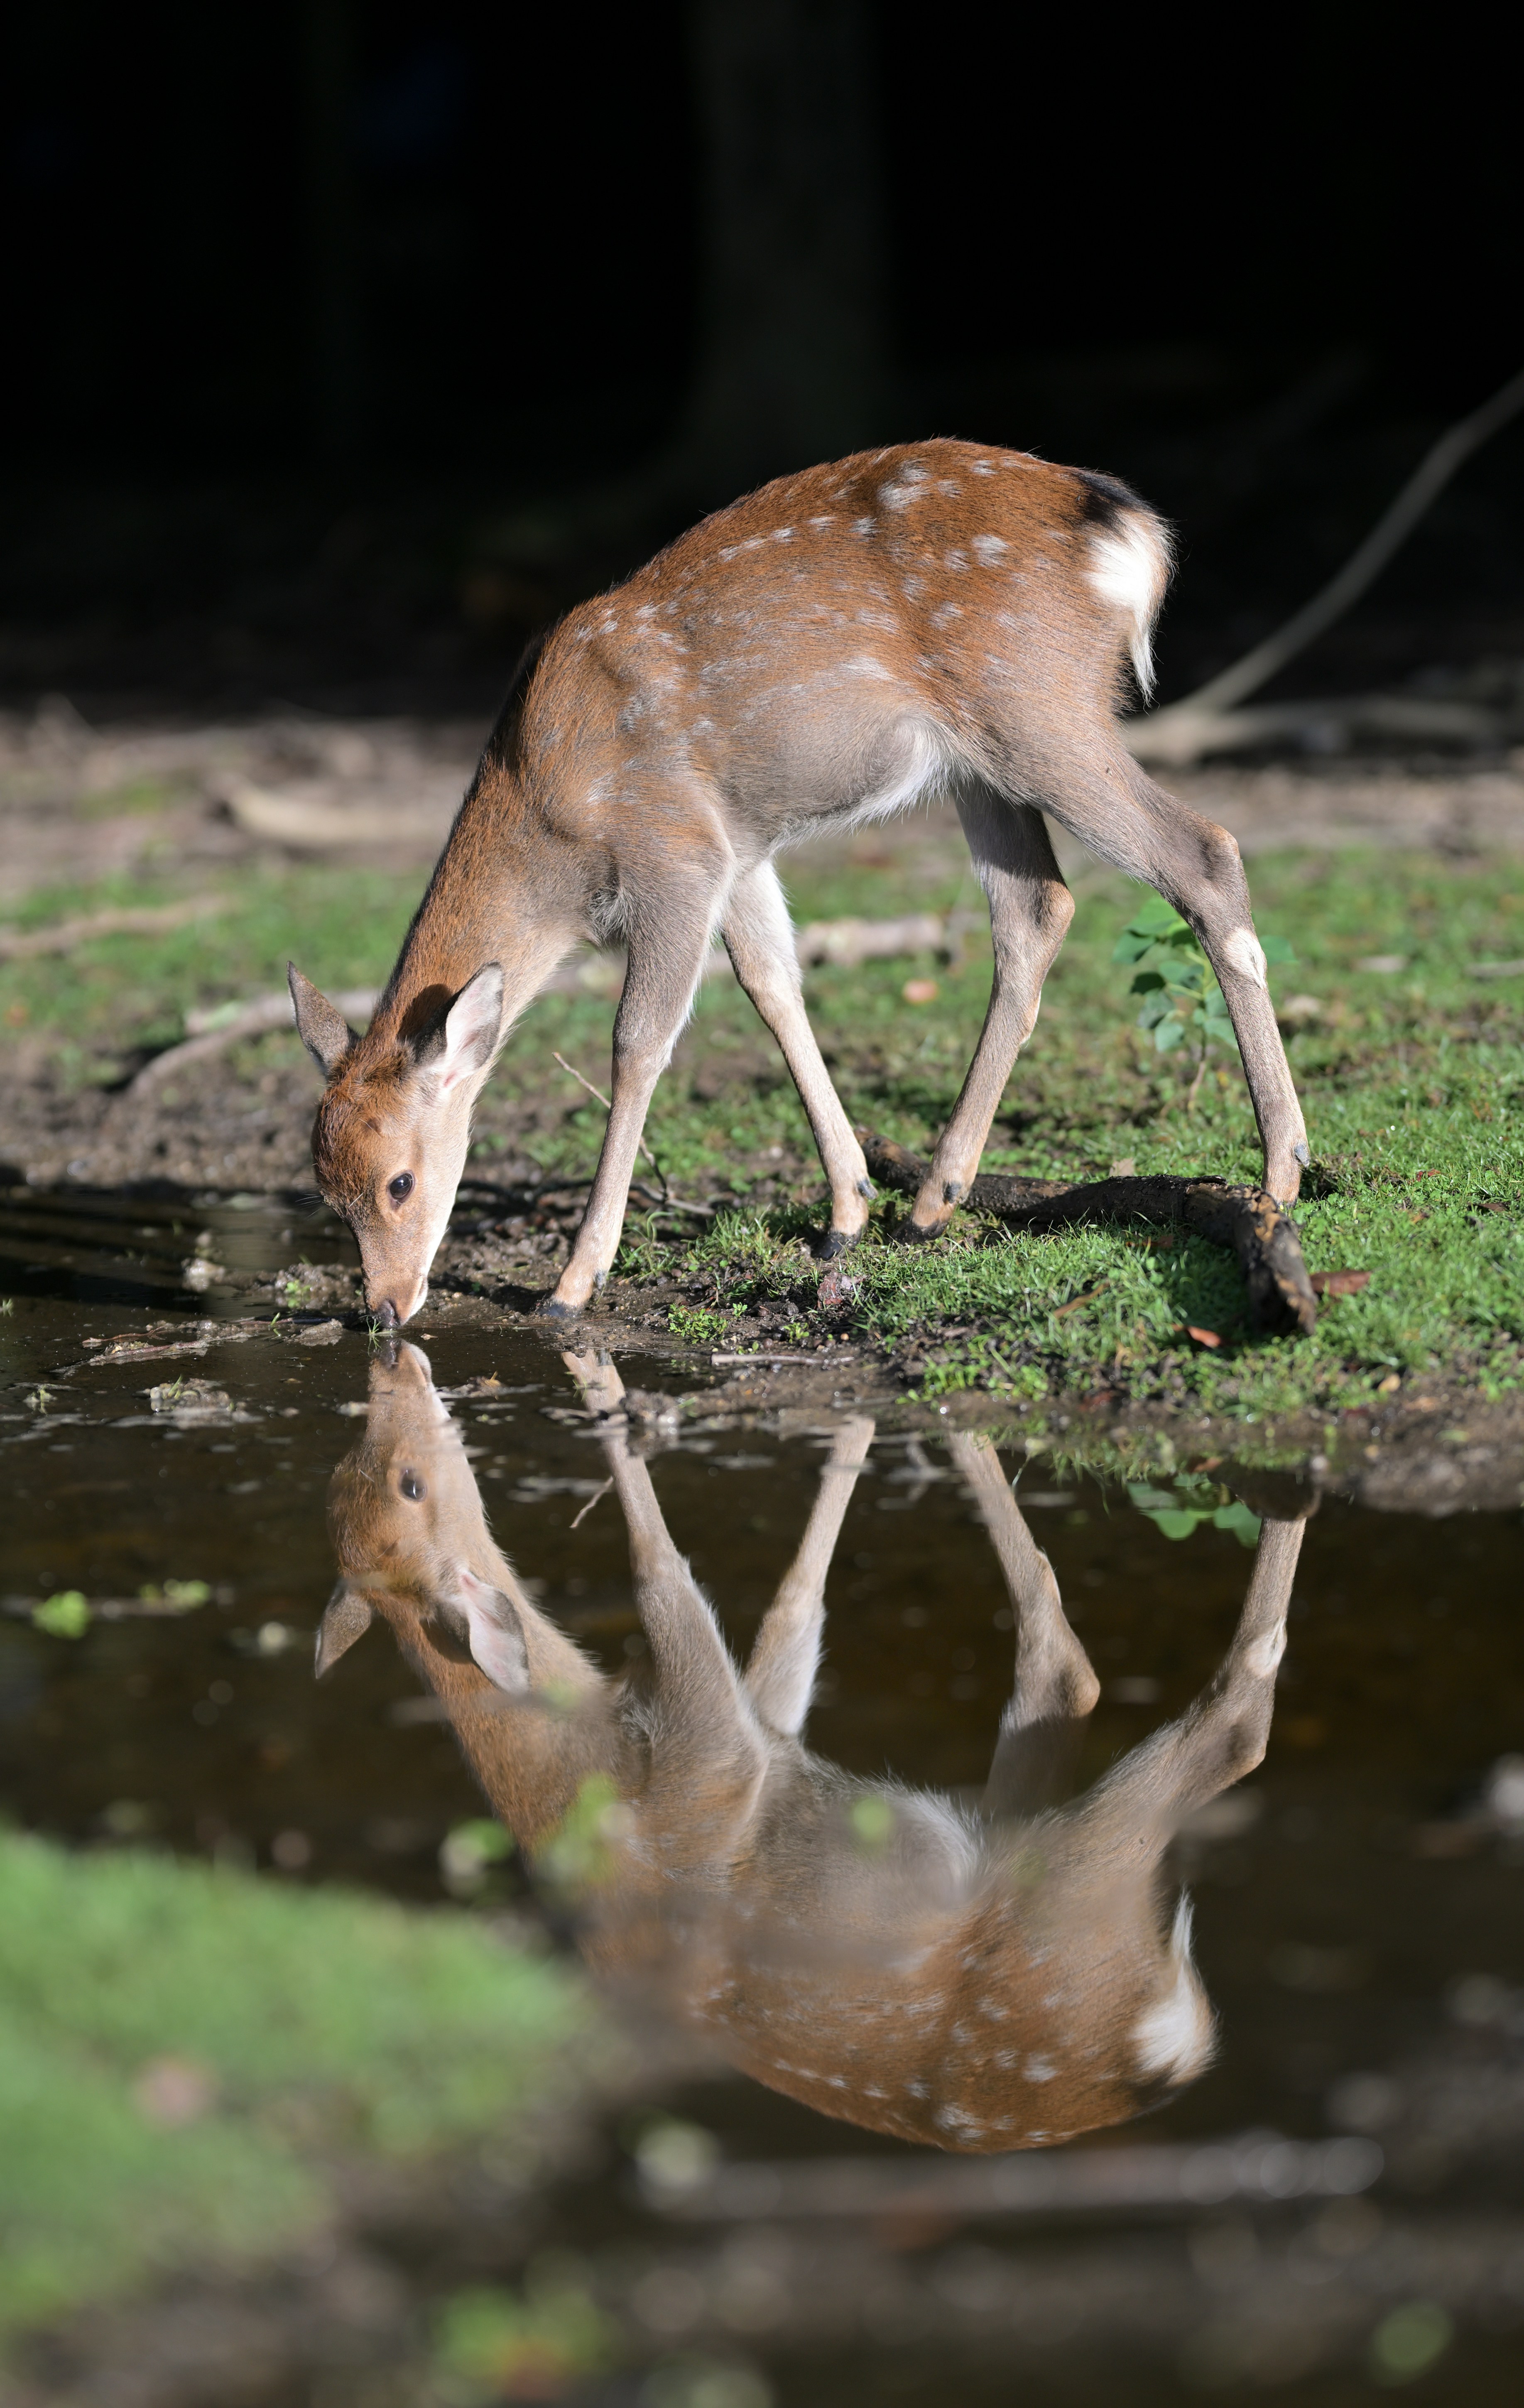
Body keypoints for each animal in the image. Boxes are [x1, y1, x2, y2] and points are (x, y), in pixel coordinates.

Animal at [287, 438, 1308, 1329]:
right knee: (1036, 908)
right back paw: (931, 1199)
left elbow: (639, 1043)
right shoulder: (735, 854)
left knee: (1204, 852)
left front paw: (573, 1282)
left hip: (1039, 709)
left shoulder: (672, 854)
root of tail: (1128, 530)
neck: (550, 821)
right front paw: (846, 1207)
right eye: (325, 1190)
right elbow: (774, 984)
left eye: (400, 1181)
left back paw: (1282, 1168)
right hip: (983, 758)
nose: (385, 1309)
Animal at [319, 1340, 1305, 2151]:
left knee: (1064, 1674)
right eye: (413, 1484)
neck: (578, 1768)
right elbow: (661, 1575)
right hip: (1066, 1895)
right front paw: (604, 1384)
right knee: (1196, 1708)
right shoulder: (710, 1761)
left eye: (362, 1477)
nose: (398, 1359)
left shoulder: (760, 1740)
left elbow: (793, 1617)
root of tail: (1165, 2048)